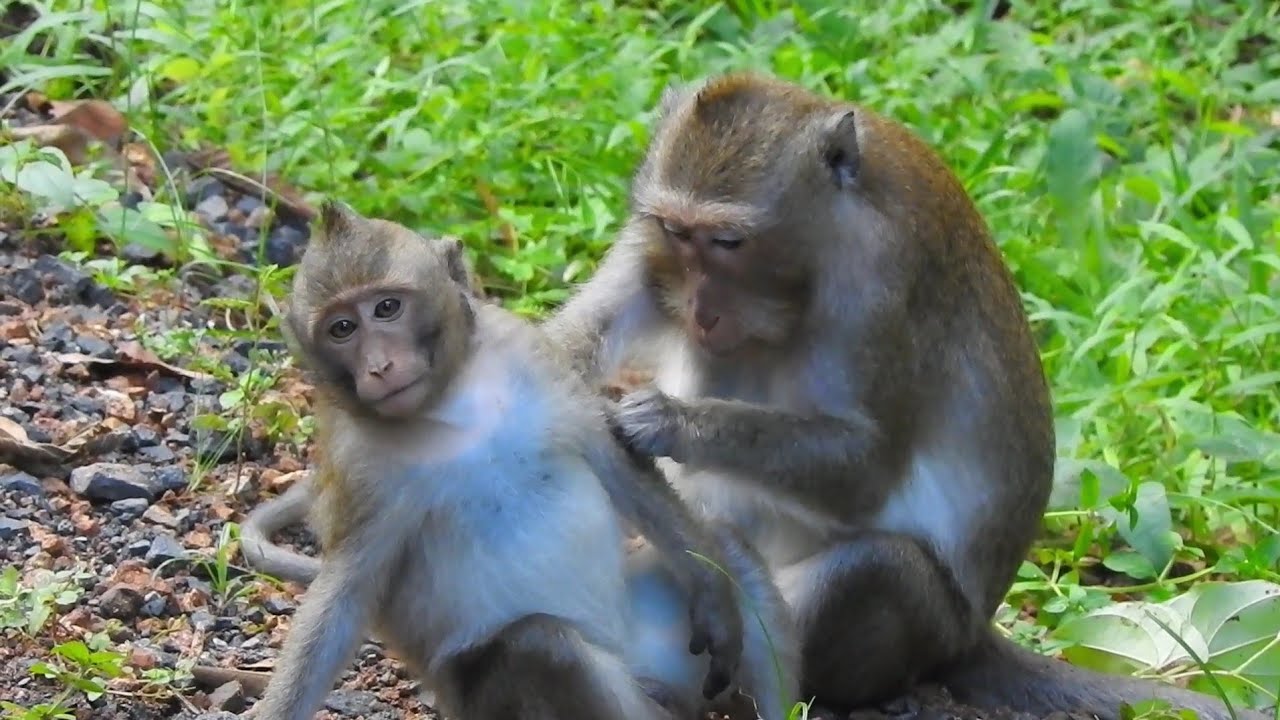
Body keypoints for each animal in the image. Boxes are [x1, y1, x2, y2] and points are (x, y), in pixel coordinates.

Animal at [248, 200, 799, 720]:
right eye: (342, 329)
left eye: (387, 308)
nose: (379, 366)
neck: (455, 404)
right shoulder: (359, 467)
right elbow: (344, 598)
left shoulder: (531, 355)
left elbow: (614, 463)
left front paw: (714, 599)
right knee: (538, 645)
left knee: (727, 546)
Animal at [539, 71, 1268, 720]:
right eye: (675, 231)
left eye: (728, 241)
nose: (700, 307)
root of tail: (972, 637)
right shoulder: (647, 250)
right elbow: (566, 348)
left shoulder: (882, 288)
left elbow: (866, 473)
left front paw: (664, 420)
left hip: (928, 628)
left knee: (875, 568)